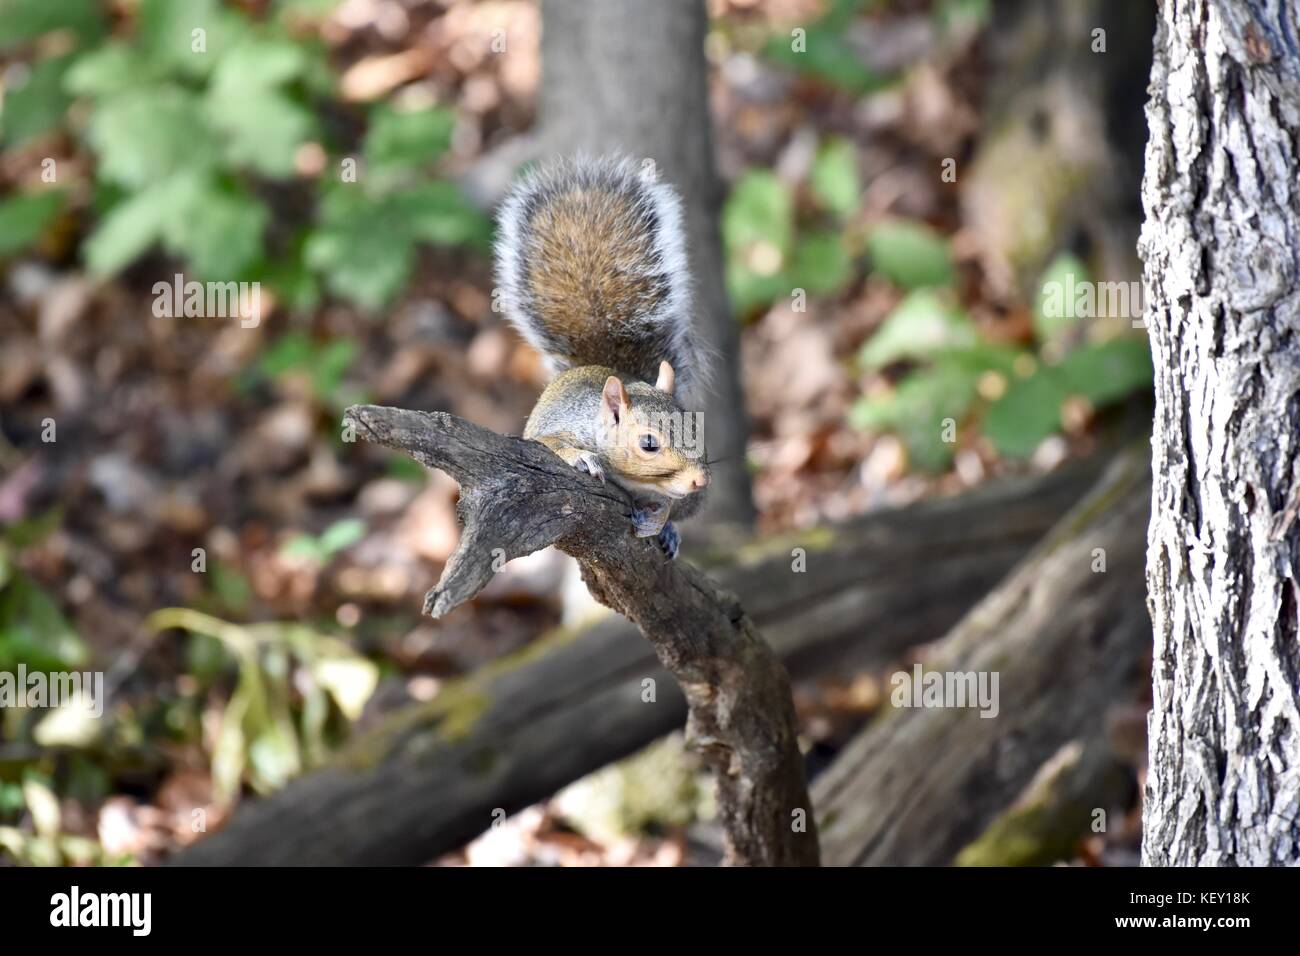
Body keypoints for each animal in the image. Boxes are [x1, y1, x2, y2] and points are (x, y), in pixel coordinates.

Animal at [495, 155, 711, 560]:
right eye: (648, 444)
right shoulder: (556, 428)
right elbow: (552, 443)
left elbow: (666, 504)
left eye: (695, 425)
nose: (700, 480)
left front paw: (660, 519)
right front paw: (582, 457)